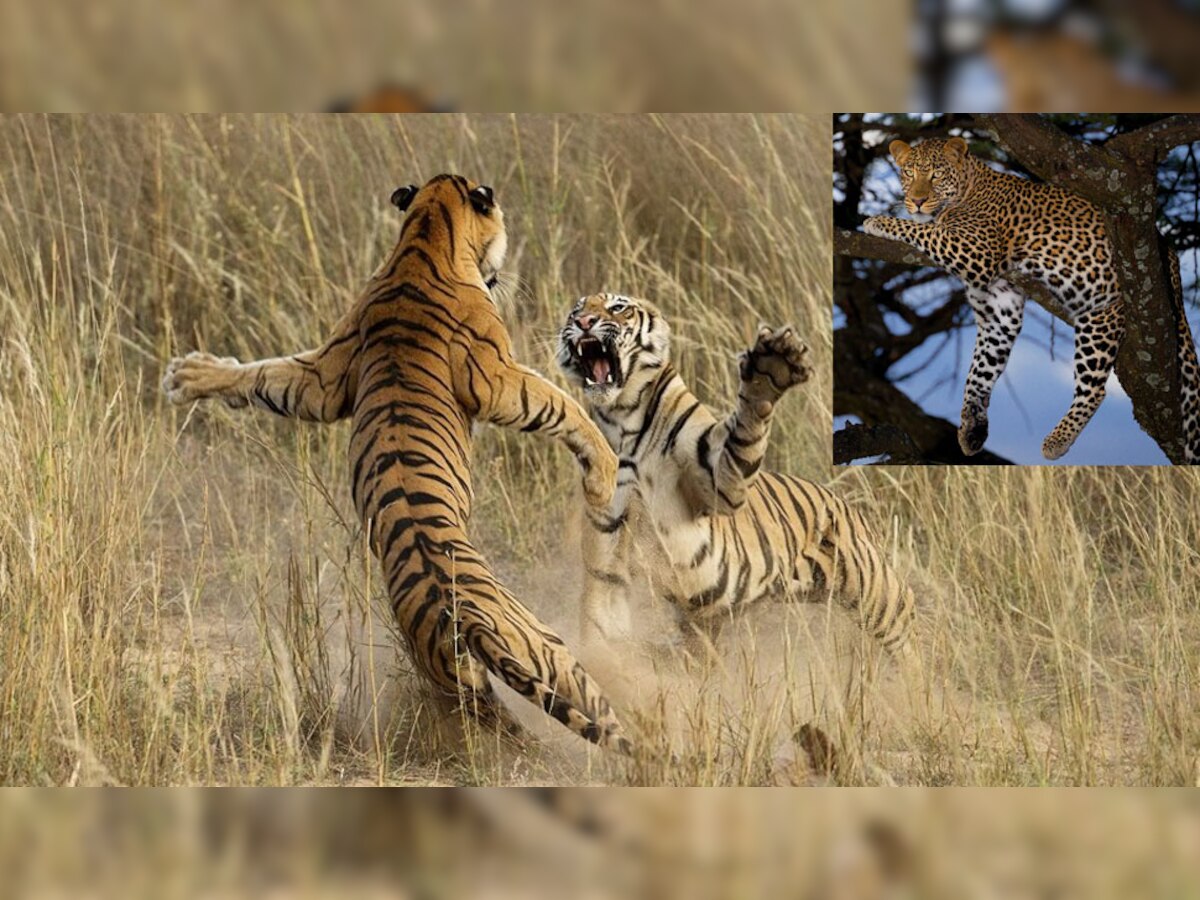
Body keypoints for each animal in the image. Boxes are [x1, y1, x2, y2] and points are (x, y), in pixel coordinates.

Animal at [162, 175, 632, 753]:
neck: (425, 234)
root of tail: (463, 620)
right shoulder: (497, 378)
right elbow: (561, 405)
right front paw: (605, 471)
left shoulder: (324, 377)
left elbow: (265, 376)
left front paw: (190, 375)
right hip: (549, 648)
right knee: (601, 716)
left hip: (471, 678)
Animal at [555, 293, 915, 654]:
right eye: (576, 311)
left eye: (618, 308)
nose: (584, 322)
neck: (623, 416)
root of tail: (853, 512)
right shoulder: (609, 540)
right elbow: (602, 617)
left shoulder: (718, 482)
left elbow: (746, 426)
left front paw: (771, 366)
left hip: (876, 592)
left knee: (909, 626)